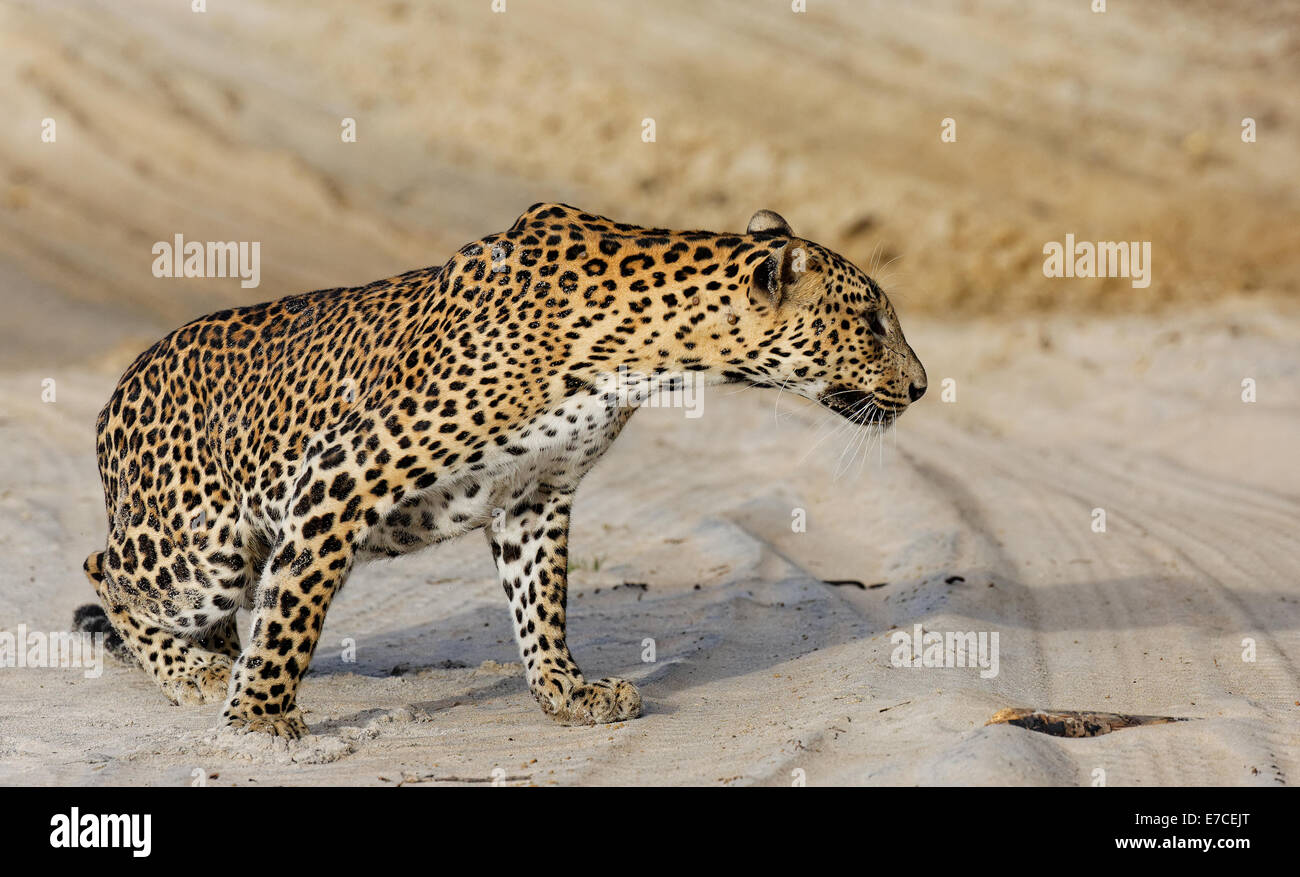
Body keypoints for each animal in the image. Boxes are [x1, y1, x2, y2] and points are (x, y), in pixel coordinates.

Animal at [73, 203, 926, 738]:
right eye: (871, 321)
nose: (921, 386)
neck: (652, 353)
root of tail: (116, 393)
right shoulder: (340, 474)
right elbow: (296, 613)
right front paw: (259, 716)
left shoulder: (538, 494)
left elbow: (541, 604)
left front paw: (568, 692)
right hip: (201, 551)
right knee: (103, 570)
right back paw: (193, 673)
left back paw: (213, 659)